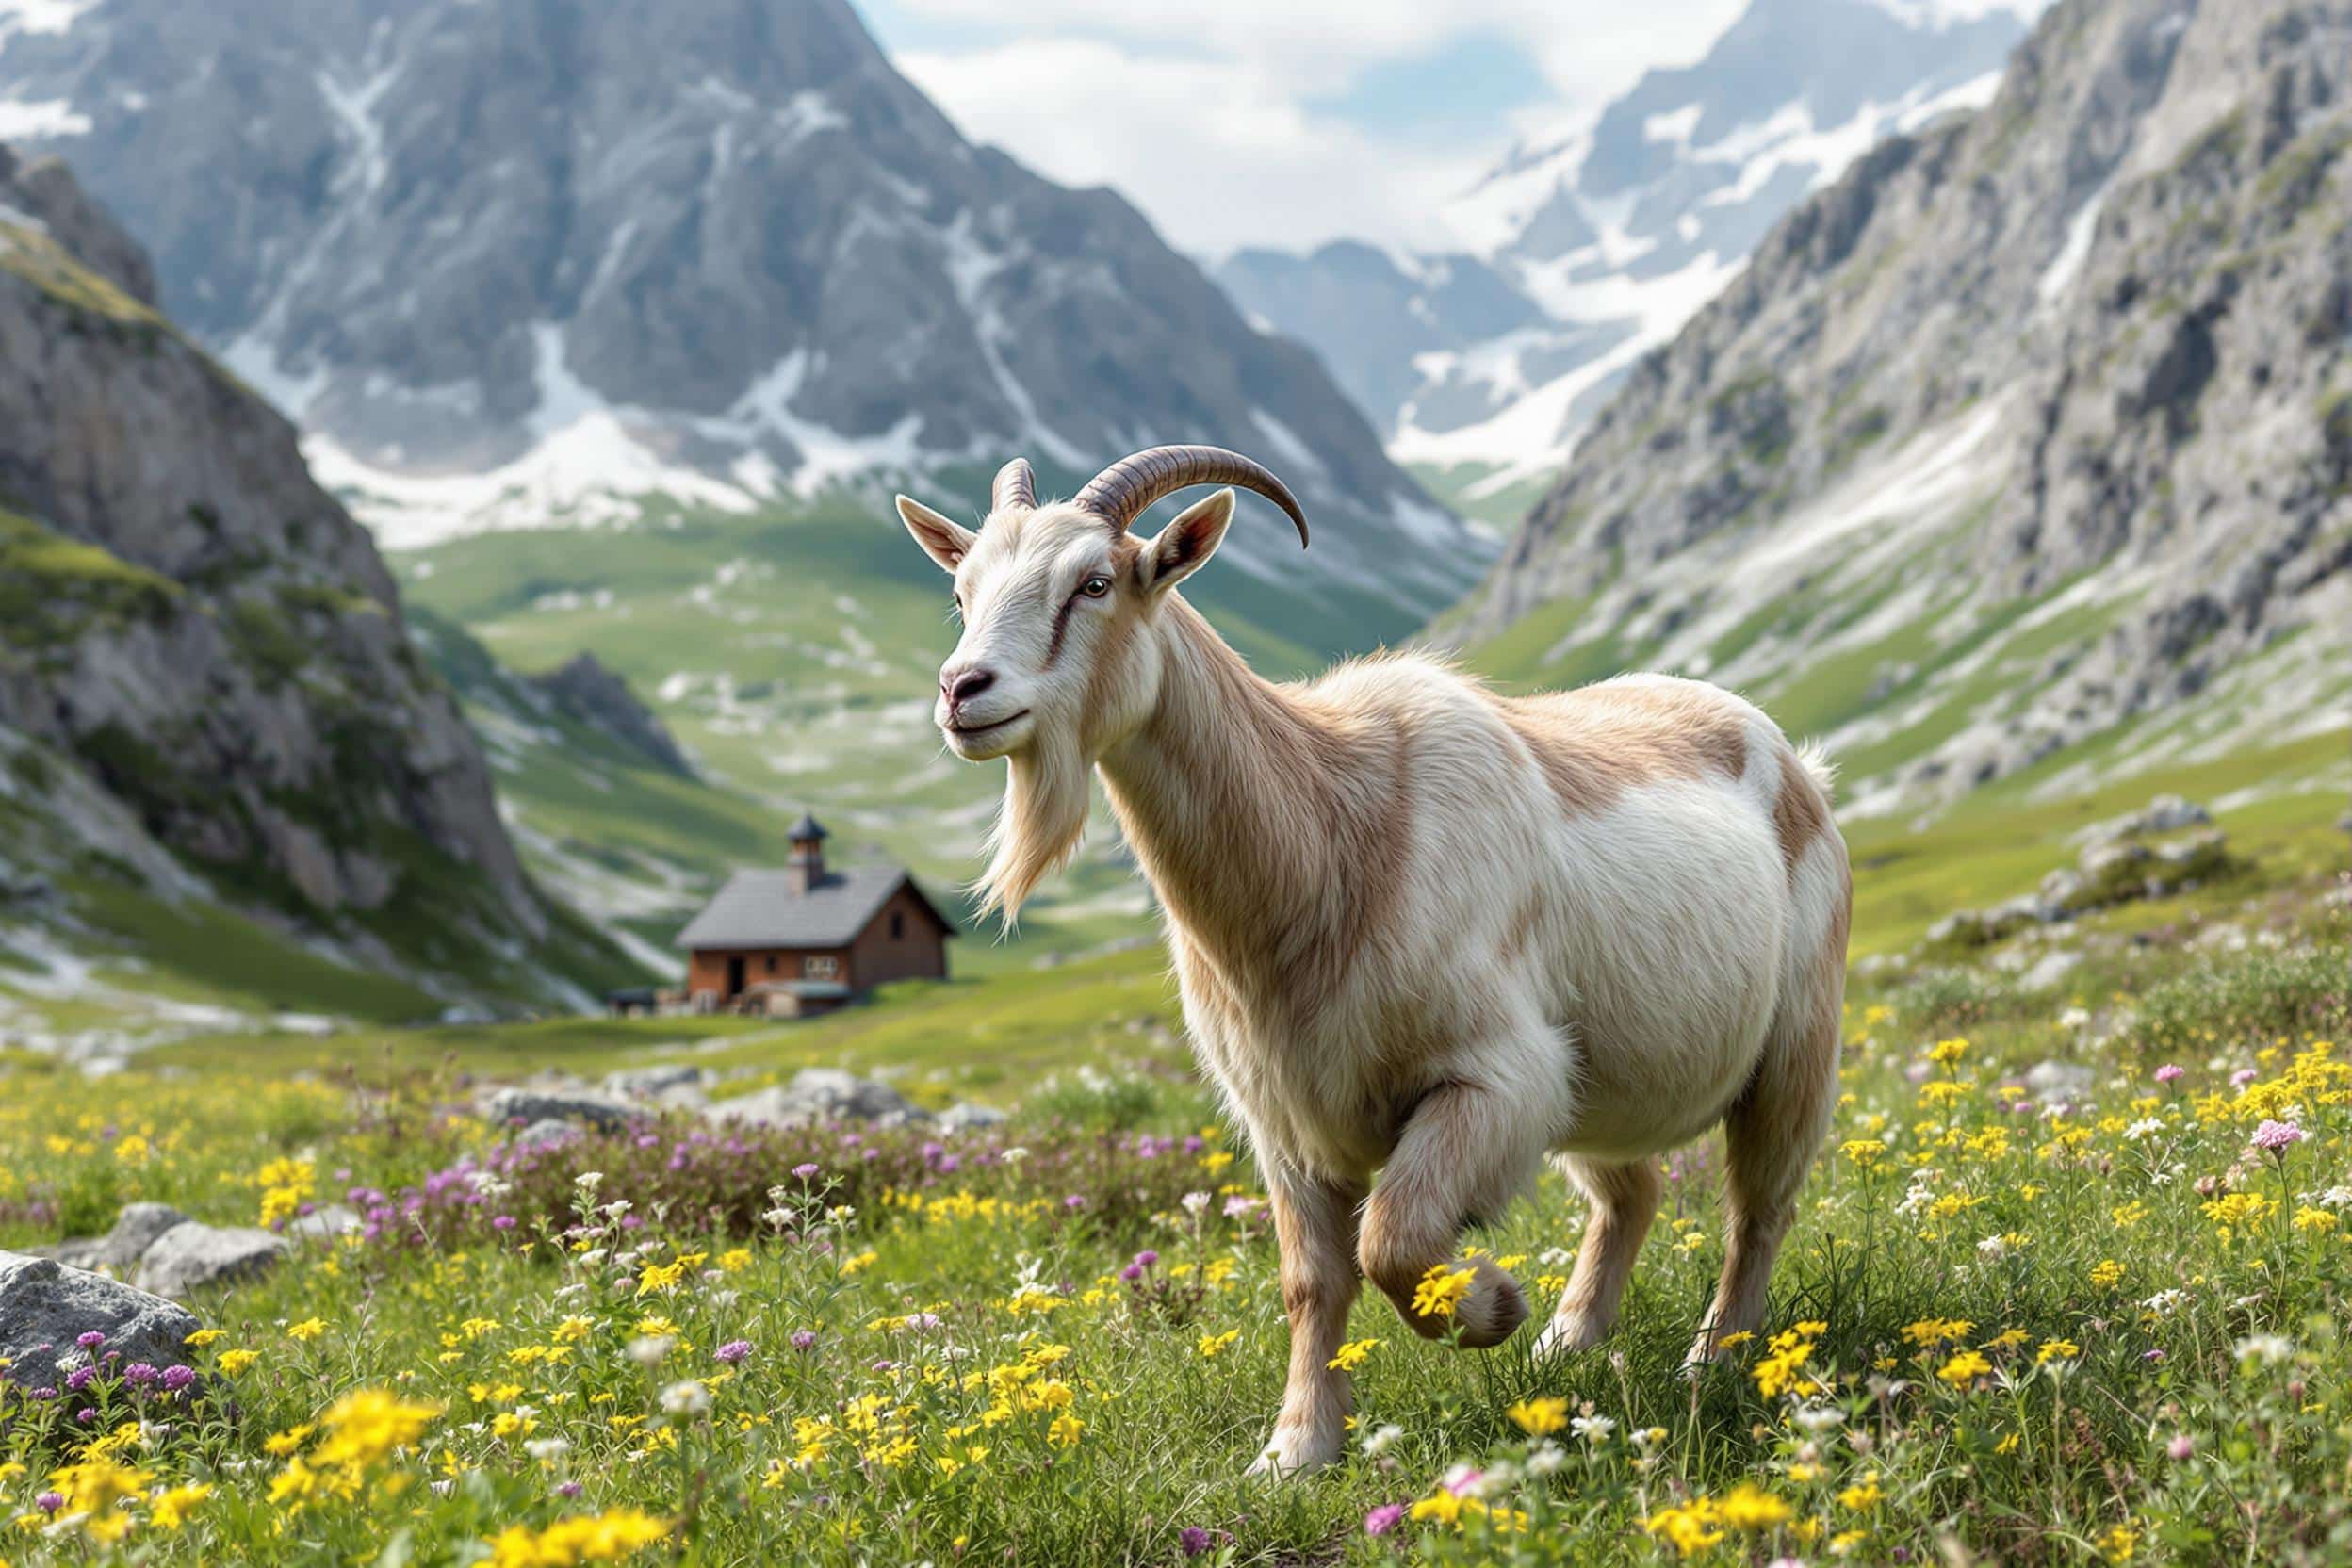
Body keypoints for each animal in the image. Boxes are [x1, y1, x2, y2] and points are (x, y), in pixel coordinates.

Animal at [897, 447, 1851, 1476]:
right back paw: (1568, 1343)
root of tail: (1788, 754)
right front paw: (1297, 1449)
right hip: (1599, 1084)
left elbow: (1390, 1239)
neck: (1331, 831)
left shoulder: (1499, 1076)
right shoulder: (1284, 1120)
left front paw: (1488, 1304)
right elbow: (1314, 1280)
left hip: (1794, 1043)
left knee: (1757, 1208)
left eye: (1096, 583)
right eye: (960, 591)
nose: (963, 690)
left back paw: (1717, 1358)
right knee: (1630, 1193)